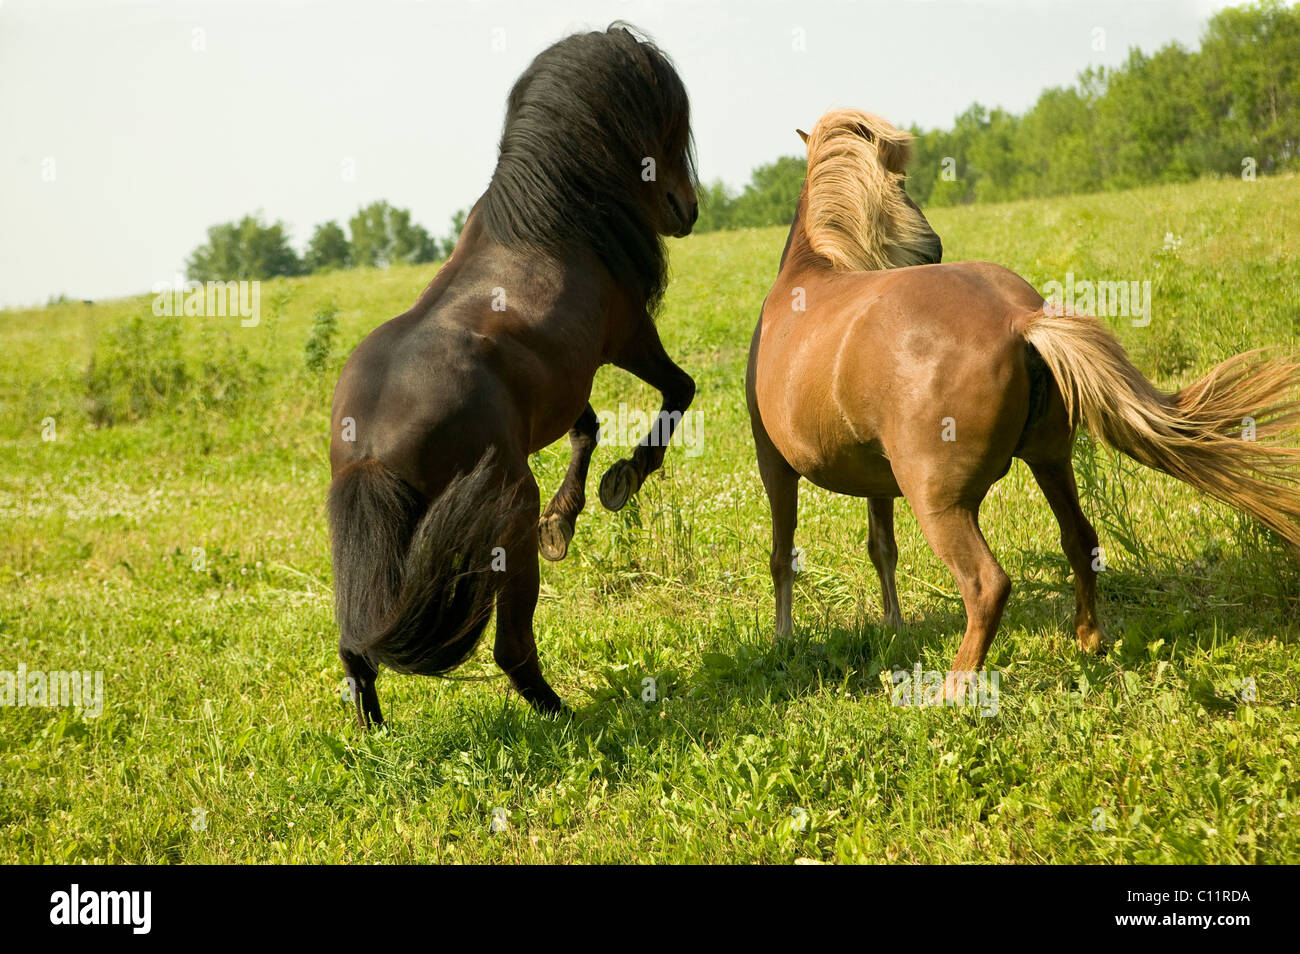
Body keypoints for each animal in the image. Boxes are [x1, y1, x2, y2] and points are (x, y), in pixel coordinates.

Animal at [328, 25, 699, 728]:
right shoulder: (629, 337)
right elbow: (677, 392)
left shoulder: (561, 381)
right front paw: (622, 482)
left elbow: (588, 429)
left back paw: (373, 732)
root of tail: (372, 448)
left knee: (356, 647)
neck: (553, 220)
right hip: (505, 515)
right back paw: (560, 712)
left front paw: (565, 522)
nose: (688, 209)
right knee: (510, 645)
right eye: (670, 122)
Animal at [746, 108, 1300, 699]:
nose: (932, 246)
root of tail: (1020, 318)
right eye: (901, 180)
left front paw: (783, 638)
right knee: (1081, 541)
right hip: (1050, 460)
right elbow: (882, 548)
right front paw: (894, 628)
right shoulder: (876, 476)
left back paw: (953, 688)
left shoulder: (774, 464)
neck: (811, 271)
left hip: (940, 502)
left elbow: (783, 555)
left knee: (986, 585)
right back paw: (1089, 641)